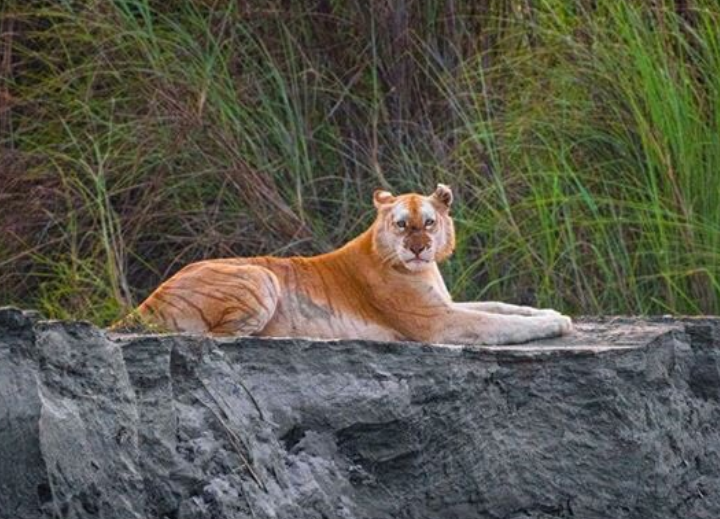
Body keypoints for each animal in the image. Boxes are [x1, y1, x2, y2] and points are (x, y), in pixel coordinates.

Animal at [110, 184, 572, 345]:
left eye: (429, 222)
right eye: (402, 225)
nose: (419, 249)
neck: (421, 269)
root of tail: (146, 301)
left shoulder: (446, 304)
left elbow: (502, 307)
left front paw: (554, 313)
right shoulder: (438, 323)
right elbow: (500, 323)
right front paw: (553, 324)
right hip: (261, 275)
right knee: (219, 337)